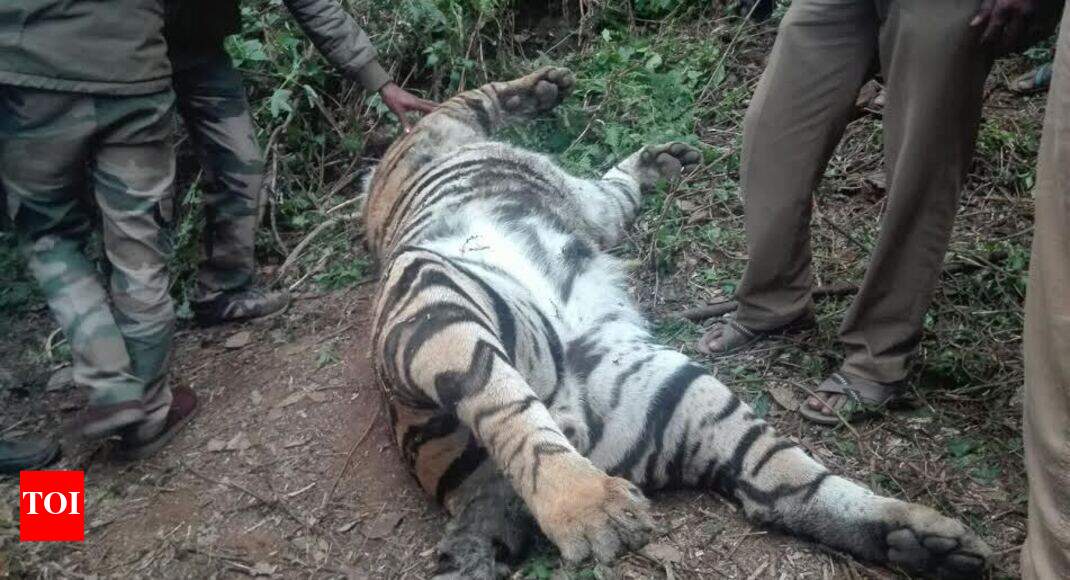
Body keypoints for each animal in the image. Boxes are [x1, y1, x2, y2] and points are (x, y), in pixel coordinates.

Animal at [360, 67, 990, 579]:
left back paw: (927, 542)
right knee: (505, 404)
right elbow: (465, 102)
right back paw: (593, 508)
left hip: (659, 385)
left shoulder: (590, 204)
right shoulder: (441, 143)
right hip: (434, 297)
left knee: (782, 480)